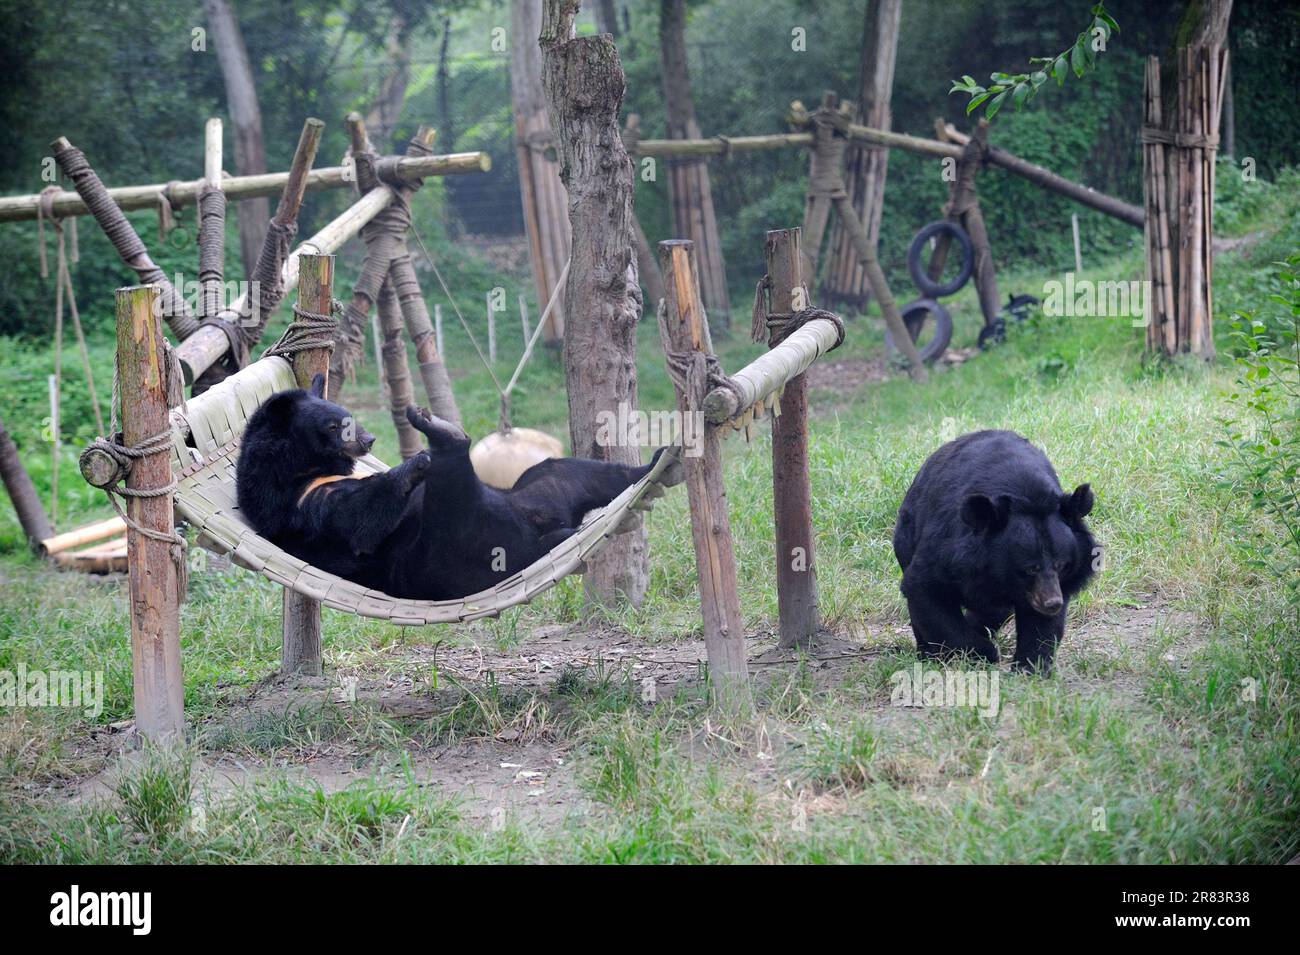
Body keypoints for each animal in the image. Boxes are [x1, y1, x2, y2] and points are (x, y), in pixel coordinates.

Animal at [235, 374, 670, 600]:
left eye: (349, 418)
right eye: (333, 425)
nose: (369, 440)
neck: (309, 467)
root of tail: (543, 531)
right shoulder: (299, 504)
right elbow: (357, 524)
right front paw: (414, 463)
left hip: (536, 488)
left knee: (577, 471)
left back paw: (655, 466)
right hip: (452, 543)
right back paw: (440, 434)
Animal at [892, 430, 1096, 674]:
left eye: (1061, 565)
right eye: (1029, 568)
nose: (1052, 603)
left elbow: (1041, 625)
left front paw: (1029, 666)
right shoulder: (946, 551)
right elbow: (925, 590)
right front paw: (984, 652)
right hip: (907, 534)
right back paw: (928, 654)